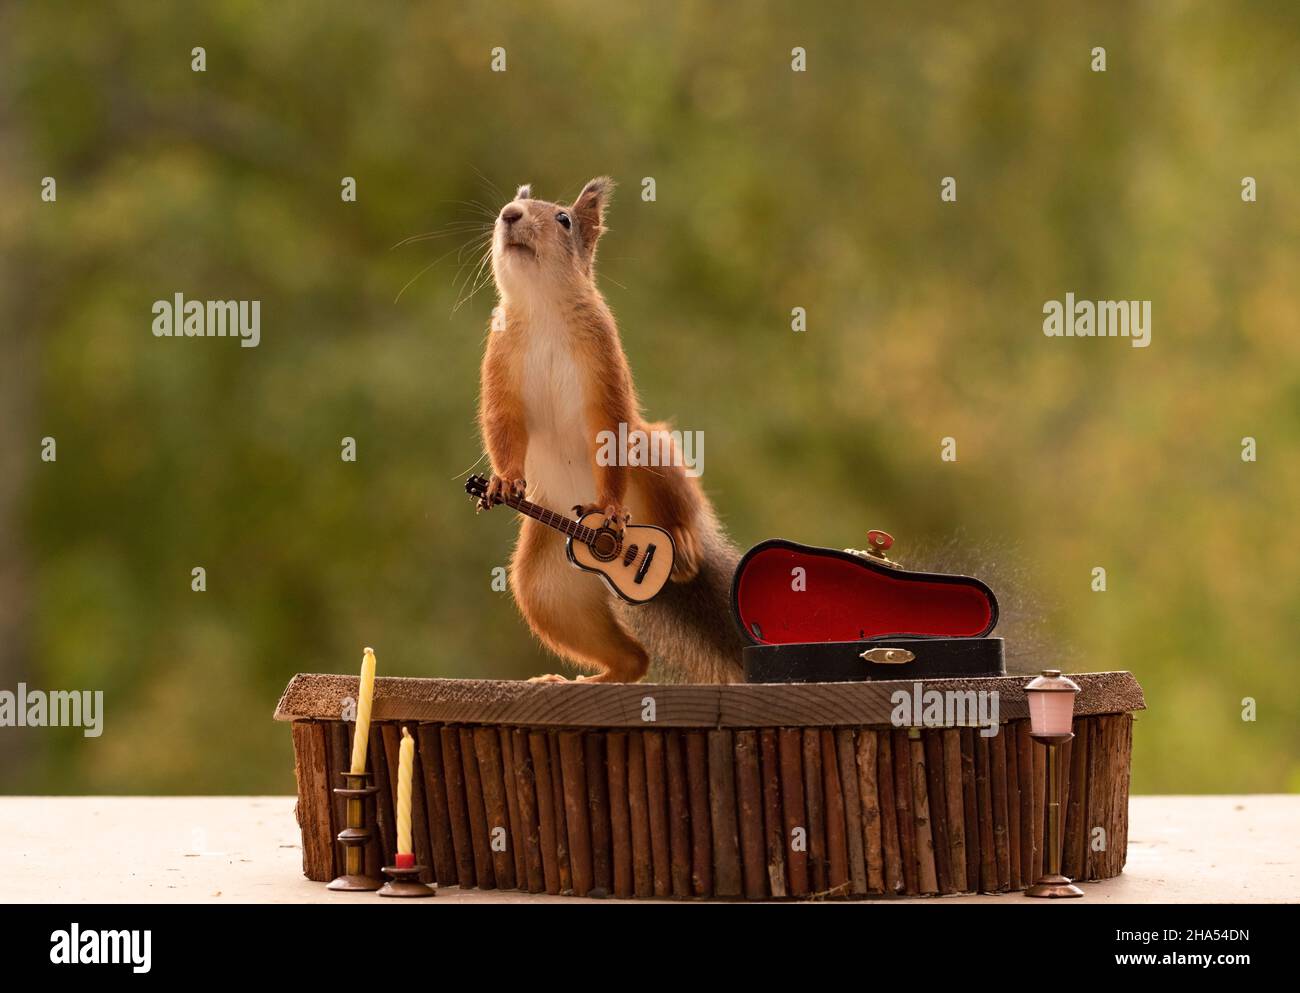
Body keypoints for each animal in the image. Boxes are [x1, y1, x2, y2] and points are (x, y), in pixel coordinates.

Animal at [477, 177, 745, 684]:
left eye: (563, 219)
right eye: (511, 206)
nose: (508, 215)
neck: (542, 310)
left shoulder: (603, 361)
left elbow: (609, 428)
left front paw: (612, 509)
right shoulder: (498, 363)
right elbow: (502, 425)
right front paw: (503, 481)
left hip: (652, 451)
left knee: (678, 501)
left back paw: (682, 540)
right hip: (550, 589)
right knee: (630, 659)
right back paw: (582, 677)